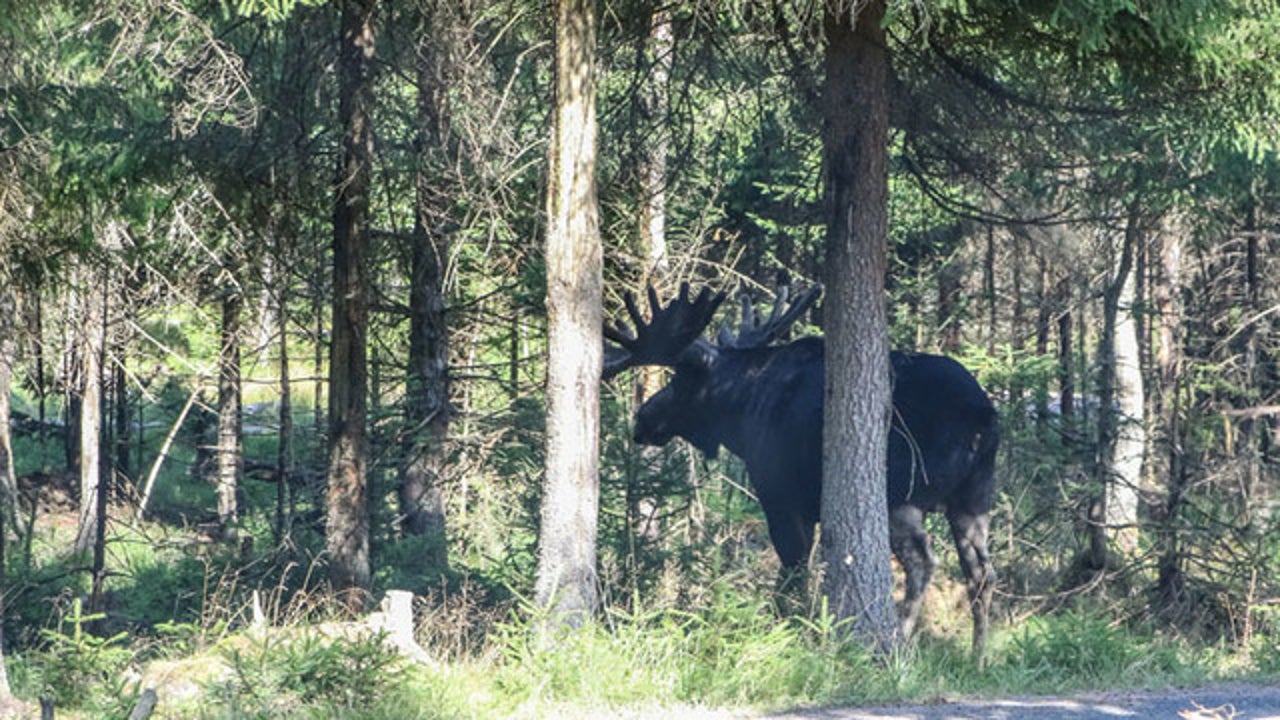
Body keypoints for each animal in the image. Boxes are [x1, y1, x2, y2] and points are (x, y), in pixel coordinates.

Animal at [603, 281, 999, 660]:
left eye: (680, 379)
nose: (643, 418)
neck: (742, 413)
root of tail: (981, 417)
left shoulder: (779, 495)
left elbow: (792, 567)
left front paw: (789, 628)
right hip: (974, 497)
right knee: (982, 572)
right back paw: (978, 657)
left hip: (900, 492)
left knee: (923, 561)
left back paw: (900, 638)